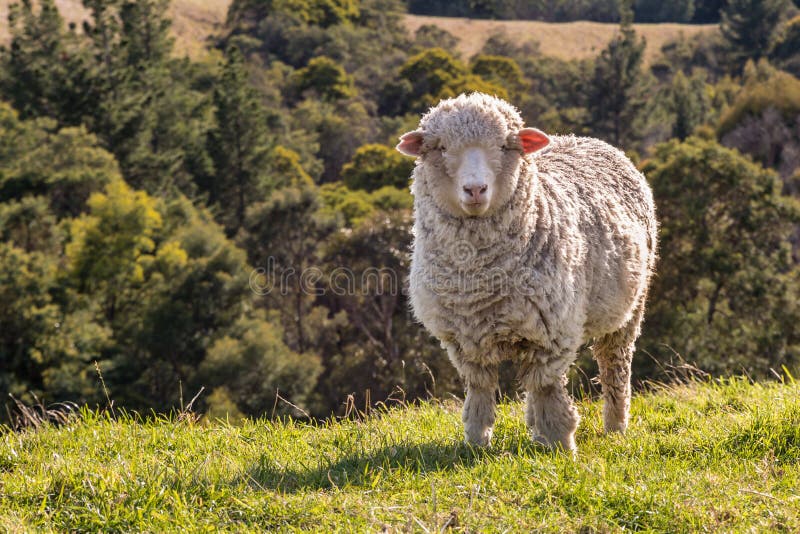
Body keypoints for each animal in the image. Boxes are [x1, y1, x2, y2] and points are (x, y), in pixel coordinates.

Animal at [396, 93, 657, 452]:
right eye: (440, 147)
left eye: (505, 146)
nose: (475, 189)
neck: (479, 280)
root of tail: (584, 139)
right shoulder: (464, 341)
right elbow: (479, 392)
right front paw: (476, 442)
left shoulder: (552, 334)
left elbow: (548, 390)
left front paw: (562, 445)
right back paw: (536, 430)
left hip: (629, 308)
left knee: (614, 368)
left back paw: (615, 427)